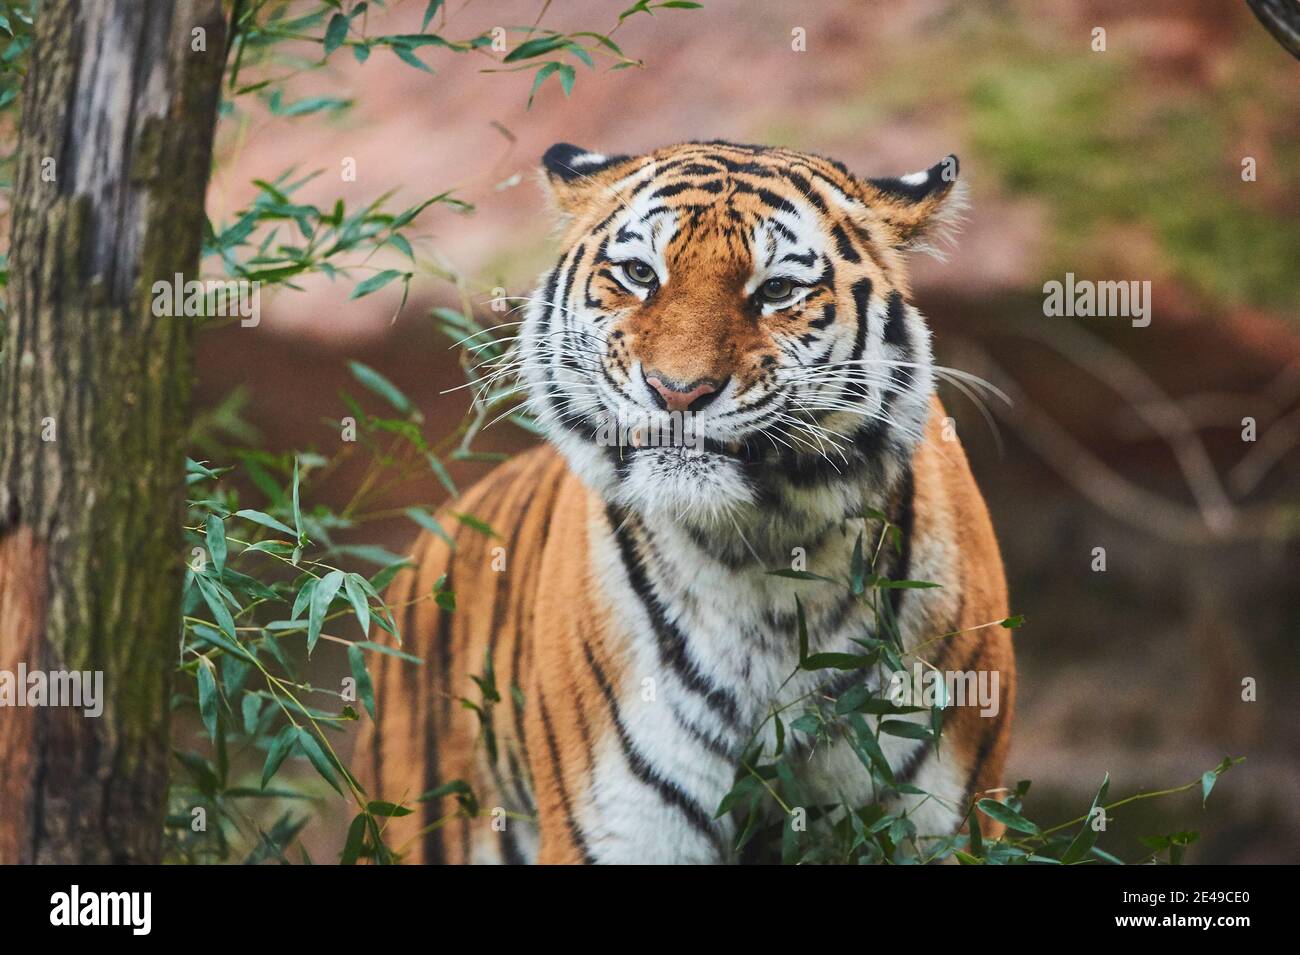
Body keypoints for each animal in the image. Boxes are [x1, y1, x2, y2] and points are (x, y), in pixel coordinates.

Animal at [357, 140, 1014, 864]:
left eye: (776, 290)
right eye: (640, 274)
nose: (677, 391)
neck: (762, 562)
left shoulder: (937, 823)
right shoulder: (623, 828)